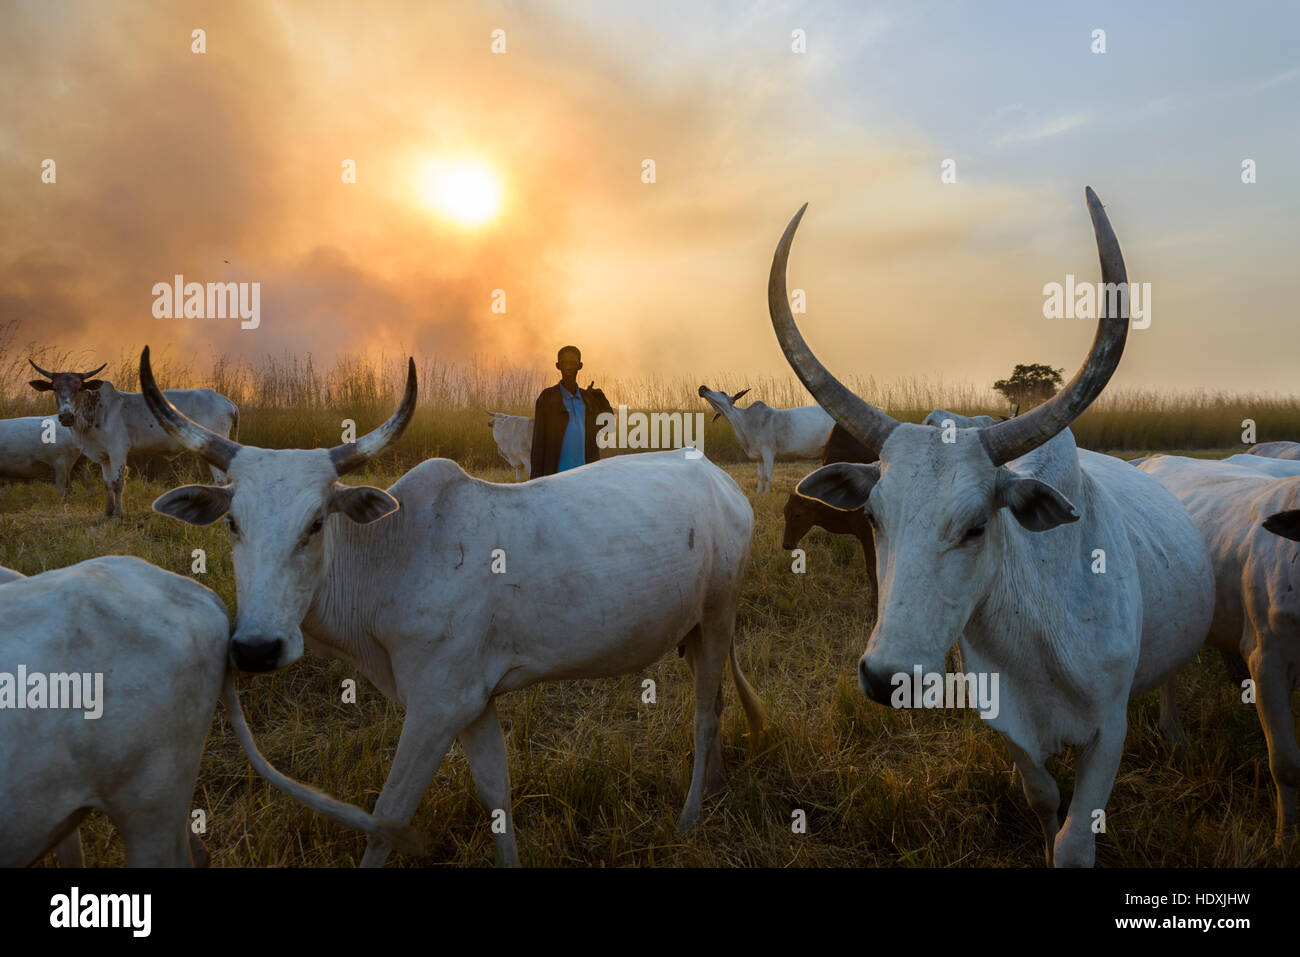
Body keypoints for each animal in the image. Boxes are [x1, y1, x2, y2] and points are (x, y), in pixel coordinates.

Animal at [28, 360, 239, 518]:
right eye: (55, 388)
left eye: (79, 387)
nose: (66, 416)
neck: (94, 411)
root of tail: (227, 402)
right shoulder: (104, 456)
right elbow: (107, 483)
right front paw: (107, 512)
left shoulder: (118, 450)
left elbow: (117, 482)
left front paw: (118, 515)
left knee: (221, 481)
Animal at [136, 346, 766, 867]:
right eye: (233, 524)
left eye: (316, 523)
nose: (257, 647)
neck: (392, 555)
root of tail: (716, 476)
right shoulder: (474, 702)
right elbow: (496, 796)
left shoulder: (438, 705)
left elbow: (388, 817)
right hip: (692, 631)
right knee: (716, 703)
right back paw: (715, 789)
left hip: (718, 616)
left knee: (705, 716)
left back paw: (690, 817)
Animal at [698, 384, 833, 492]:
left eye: (723, 392)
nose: (703, 387)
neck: (745, 423)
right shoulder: (758, 456)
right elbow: (760, 475)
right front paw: (759, 493)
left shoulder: (768, 452)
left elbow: (767, 475)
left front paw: (767, 493)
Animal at [767, 188, 1215, 867]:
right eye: (872, 516)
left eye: (978, 525)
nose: (887, 678)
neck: (1036, 628)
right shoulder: (1009, 725)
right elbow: (1043, 800)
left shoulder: (1108, 731)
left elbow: (1076, 839)